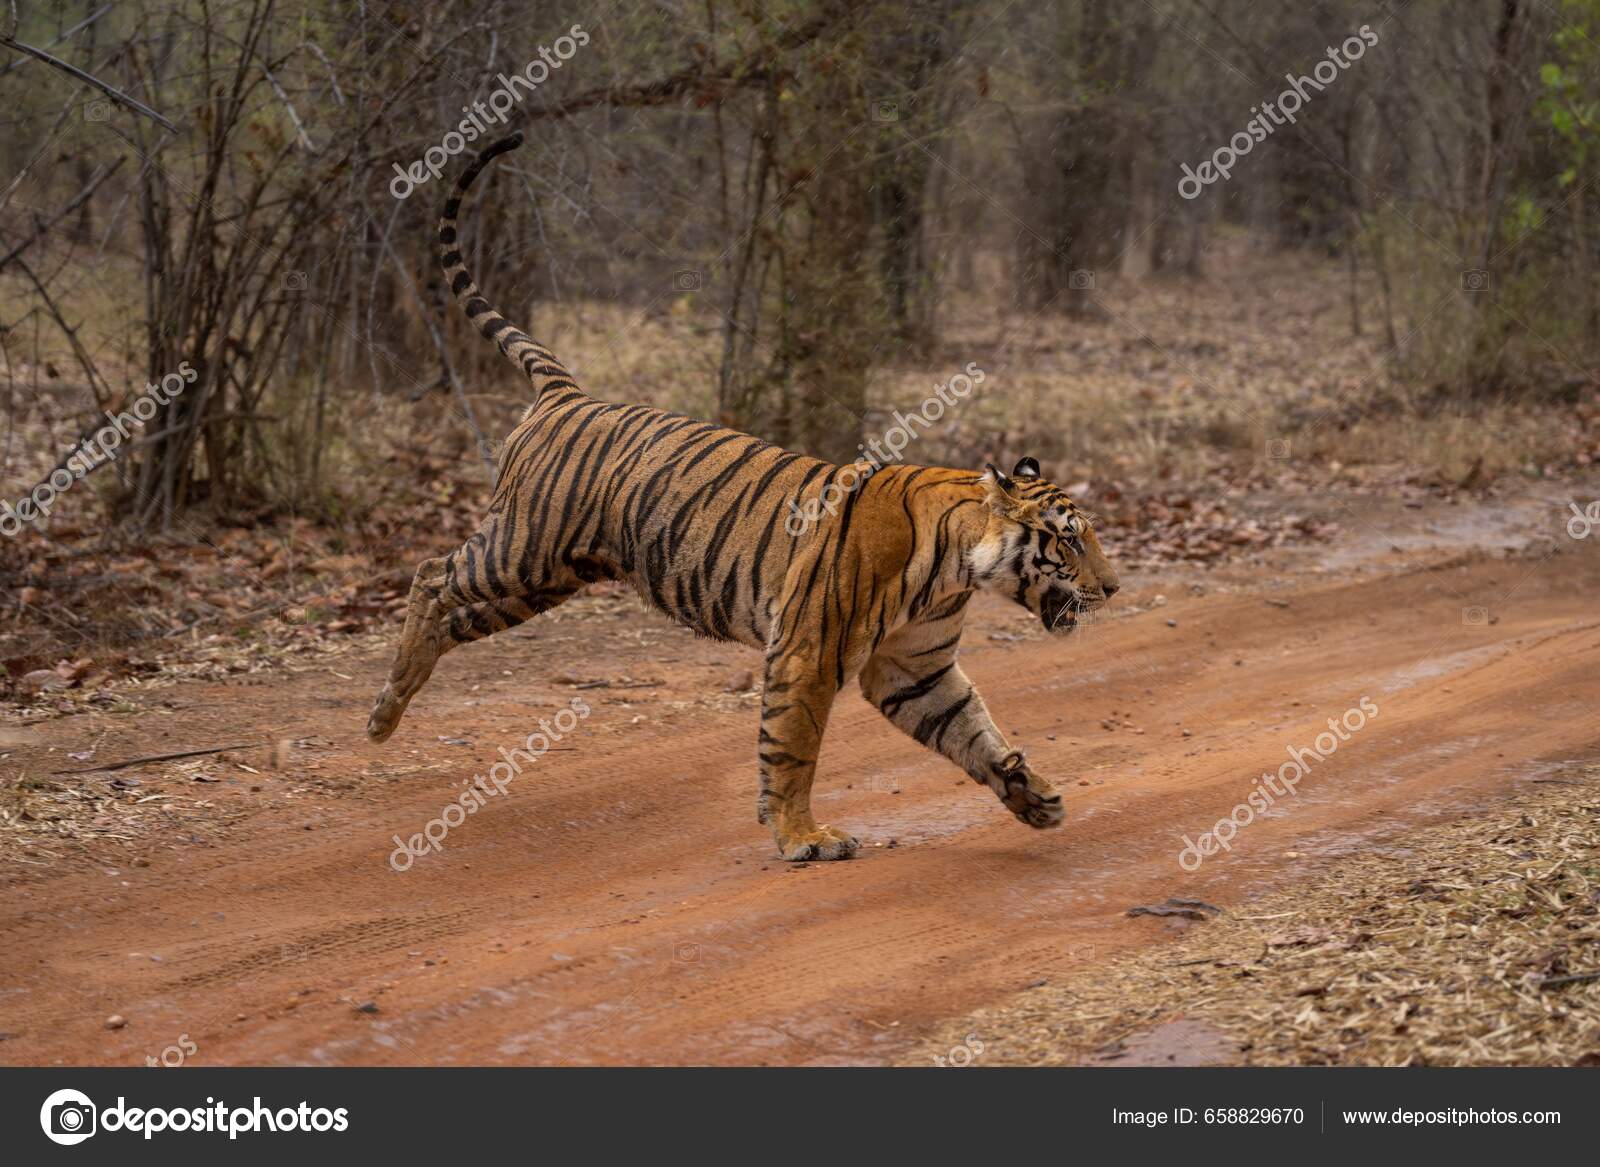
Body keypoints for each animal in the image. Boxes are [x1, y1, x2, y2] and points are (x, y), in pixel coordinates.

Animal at [366, 131, 1122, 861]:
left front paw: (1033, 797)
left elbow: (973, 732)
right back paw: (385, 706)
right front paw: (803, 837)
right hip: (522, 552)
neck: (957, 569)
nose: (1114, 588)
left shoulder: (915, 668)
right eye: (1068, 538)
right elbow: (793, 749)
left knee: (450, 609)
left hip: (540, 578)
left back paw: (390, 704)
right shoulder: (807, 652)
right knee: (429, 575)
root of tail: (567, 392)